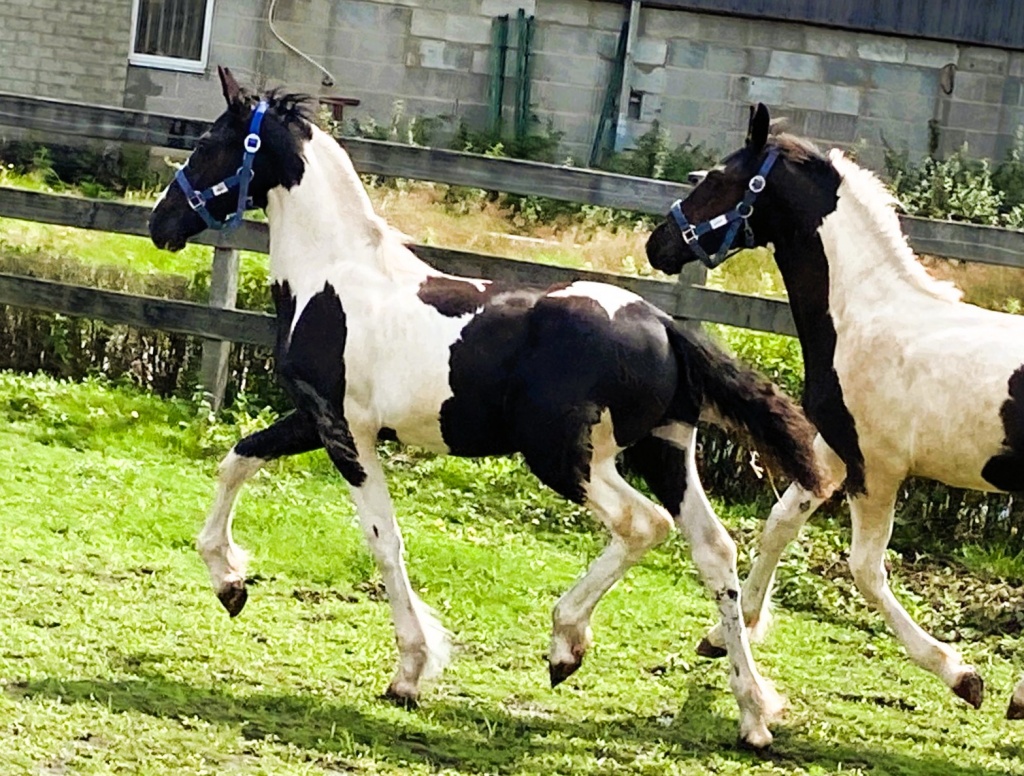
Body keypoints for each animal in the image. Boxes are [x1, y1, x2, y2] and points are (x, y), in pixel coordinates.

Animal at [148, 68, 825, 748]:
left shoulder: (344, 432)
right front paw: (231, 584)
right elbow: (238, 460)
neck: (335, 280)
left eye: (208, 143)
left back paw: (566, 645)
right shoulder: (314, 422)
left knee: (643, 525)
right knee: (714, 550)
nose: (160, 224)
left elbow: (383, 540)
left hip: (569, 458)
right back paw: (753, 714)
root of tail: (662, 324)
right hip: (665, 450)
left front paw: (410, 671)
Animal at [646, 102, 1024, 717]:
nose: (657, 244)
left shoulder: (877, 469)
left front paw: (961, 675)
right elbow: (779, 524)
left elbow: (865, 570)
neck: (862, 317)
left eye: (718, 178)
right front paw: (722, 633)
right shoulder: (833, 451)